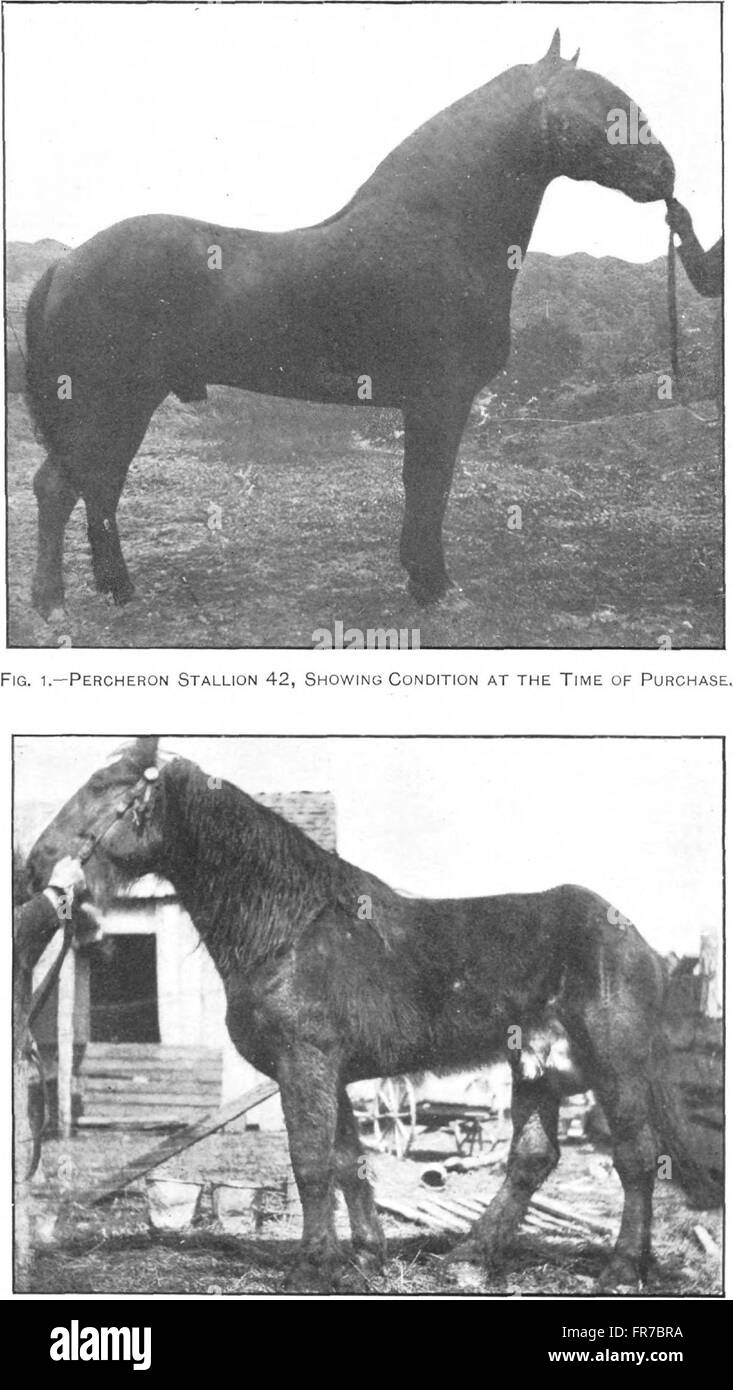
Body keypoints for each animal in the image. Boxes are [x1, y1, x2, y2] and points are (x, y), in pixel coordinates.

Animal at [25, 31, 676, 621]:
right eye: (602, 101)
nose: (665, 173)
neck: (440, 232)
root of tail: (66, 264)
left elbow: (423, 488)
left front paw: (421, 579)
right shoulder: (440, 400)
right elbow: (429, 487)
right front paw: (435, 586)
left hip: (128, 405)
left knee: (99, 487)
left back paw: (118, 589)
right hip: (108, 402)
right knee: (61, 487)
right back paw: (53, 605)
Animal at [26, 737, 718, 1293]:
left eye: (102, 787)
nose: (36, 866)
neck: (288, 927)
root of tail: (638, 941)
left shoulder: (305, 1063)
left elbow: (309, 1161)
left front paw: (310, 1268)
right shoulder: (330, 1074)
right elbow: (345, 1162)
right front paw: (363, 1258)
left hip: (613, 1064)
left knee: (635, 1156)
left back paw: (622, 1269)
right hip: (539, 1066)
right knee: (533, 1158)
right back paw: (470, 1258)